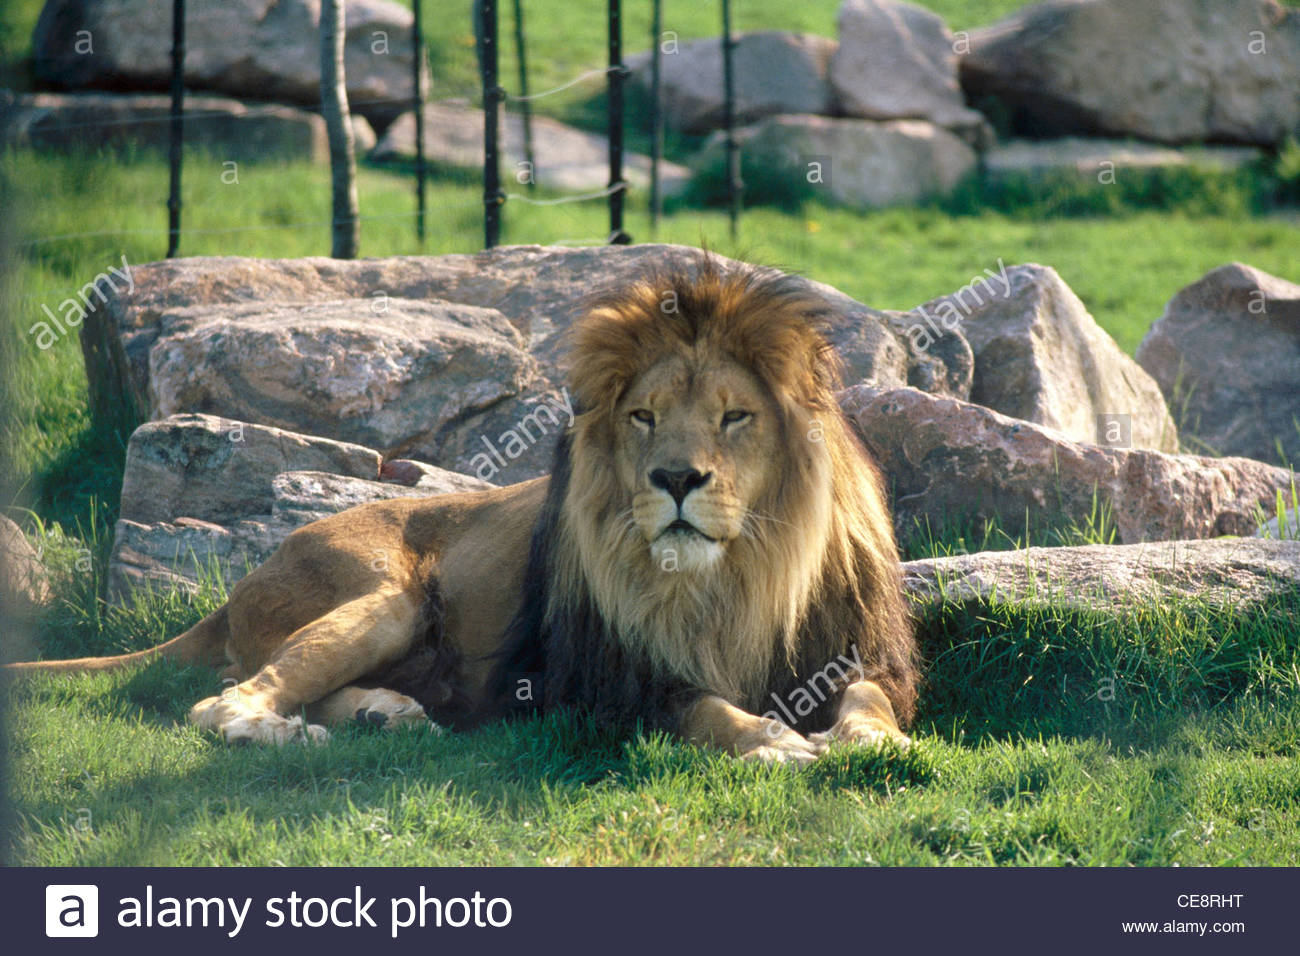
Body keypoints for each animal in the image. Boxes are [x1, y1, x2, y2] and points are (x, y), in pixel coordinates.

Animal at [7, 254, 919, 764]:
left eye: (735, 416)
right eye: (643, 416)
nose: (676, 479)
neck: (737, 577)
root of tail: (240, 584)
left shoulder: (857, 650)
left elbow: (868, 704)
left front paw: (875, 745)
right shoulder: (607, 686)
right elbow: (710, 711)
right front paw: (781, 745)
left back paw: (386, 716)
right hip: (389, 596)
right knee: (227, 699)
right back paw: (292, 734)